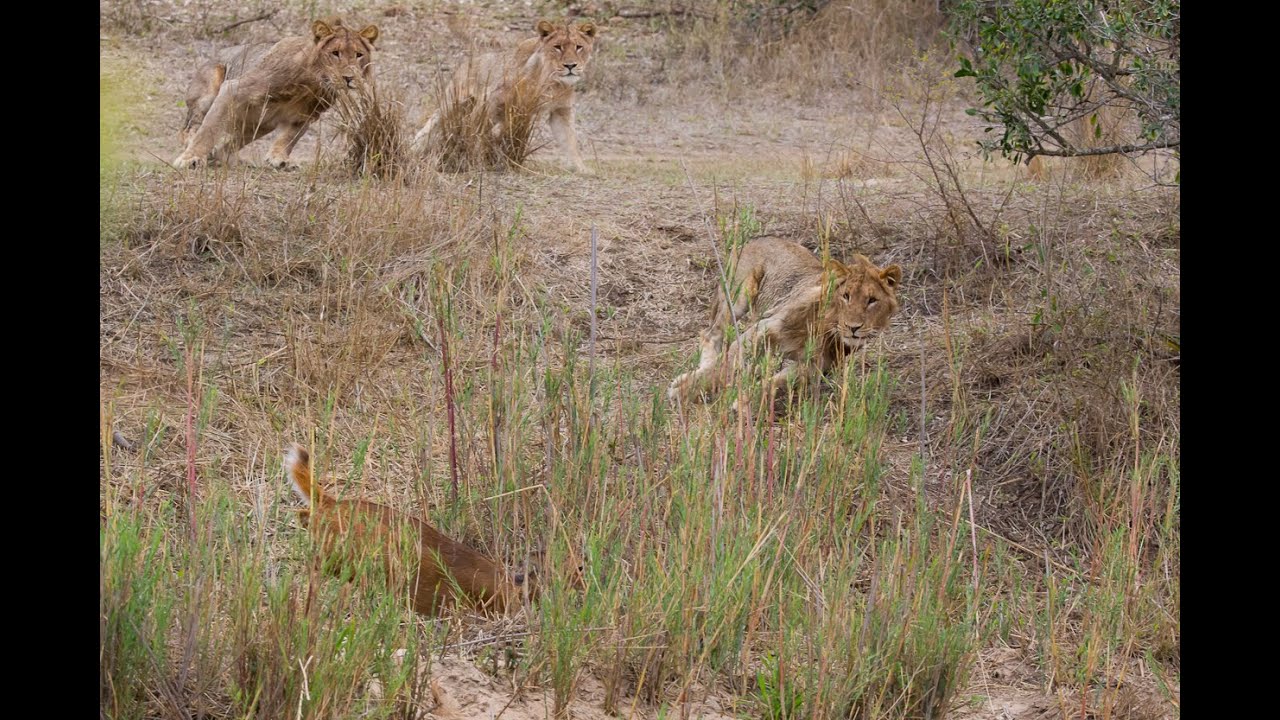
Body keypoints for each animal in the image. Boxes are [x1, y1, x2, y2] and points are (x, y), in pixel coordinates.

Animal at [173, 18, 379, 169]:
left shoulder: (305, 115)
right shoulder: (233, 89)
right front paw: (190, 158)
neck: (312, 85)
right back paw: (193, 146)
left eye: (359, 55)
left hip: (259, 124)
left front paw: (279, 159)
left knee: (230, 144)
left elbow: (289, 138)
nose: (349, 77)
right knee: (189, 128)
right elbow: (208, 130)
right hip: (210, 89)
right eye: (335, 53)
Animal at [412, 19, 597, 173]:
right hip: (453, 102)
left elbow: (570, 141)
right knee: (432, 125)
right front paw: (472, 158)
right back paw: (414, 148)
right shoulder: (490, 99)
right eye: (557, 47)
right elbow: (474, 130)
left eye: (578, 47)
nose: (570, 66)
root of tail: (468, 62)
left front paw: (581, 168)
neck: (553, 82)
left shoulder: (560, 111)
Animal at [669, 238, 902, 410]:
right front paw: (685, 391)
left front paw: (743, 403)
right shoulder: (761, 330)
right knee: (711, 335)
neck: (827, 326)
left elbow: (775, 383)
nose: (853, 327)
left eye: (872, 300)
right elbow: (724, 367)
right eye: (846, 296)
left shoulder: (812, 366)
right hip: (739, 296)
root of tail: (756, 240)